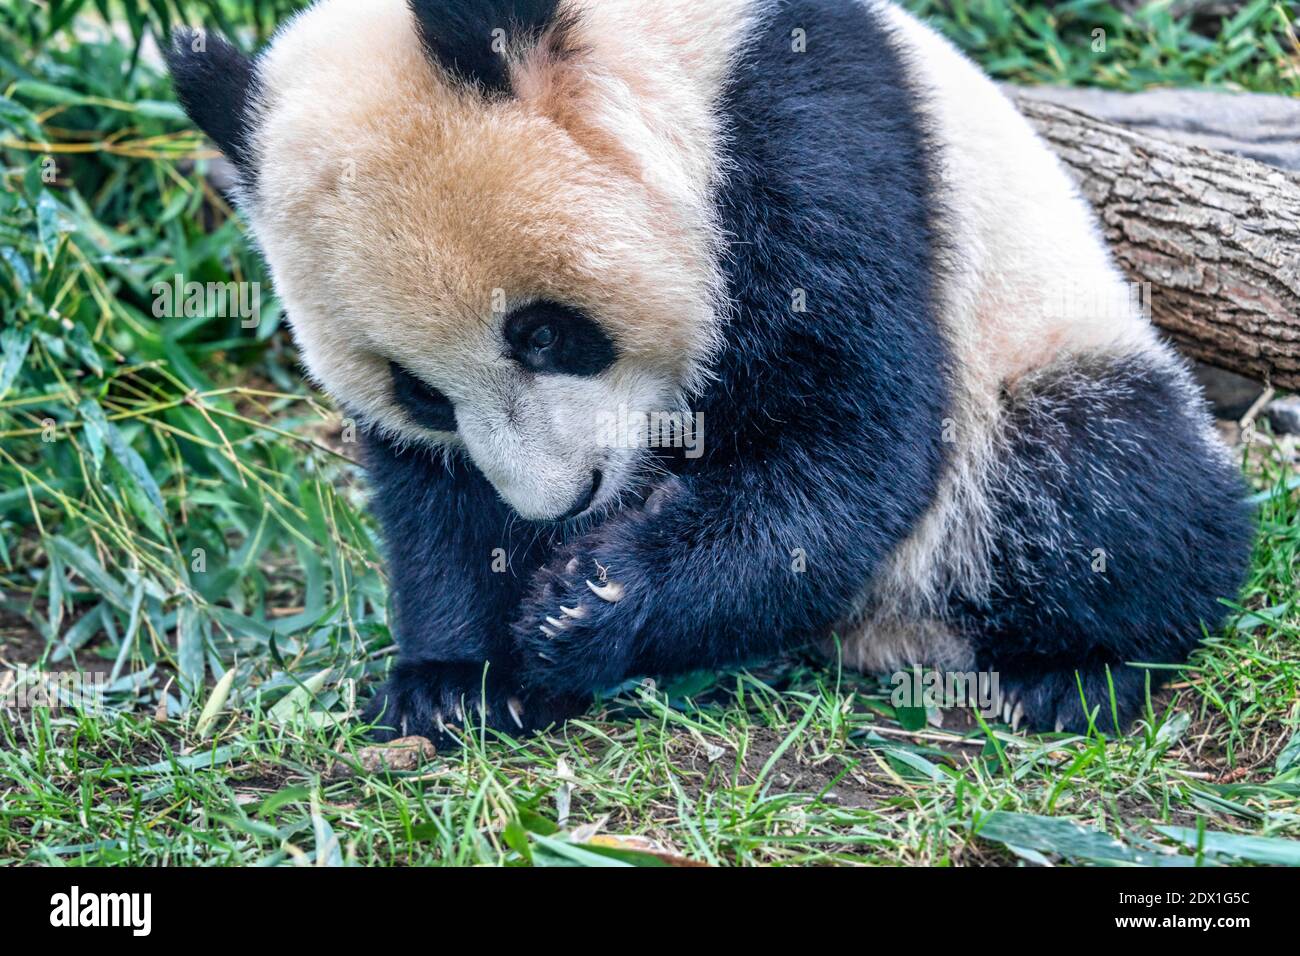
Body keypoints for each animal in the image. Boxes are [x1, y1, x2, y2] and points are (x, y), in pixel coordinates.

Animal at [166, 0, 1254, 740]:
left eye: (543, 333)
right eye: (420, 390)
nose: (562, 500)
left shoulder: (803, 135)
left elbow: (851, 435)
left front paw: (587, 605)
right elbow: (433, 497)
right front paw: (453, 680)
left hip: (1042, 344)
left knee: (1097, 478)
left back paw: (1079, 669)